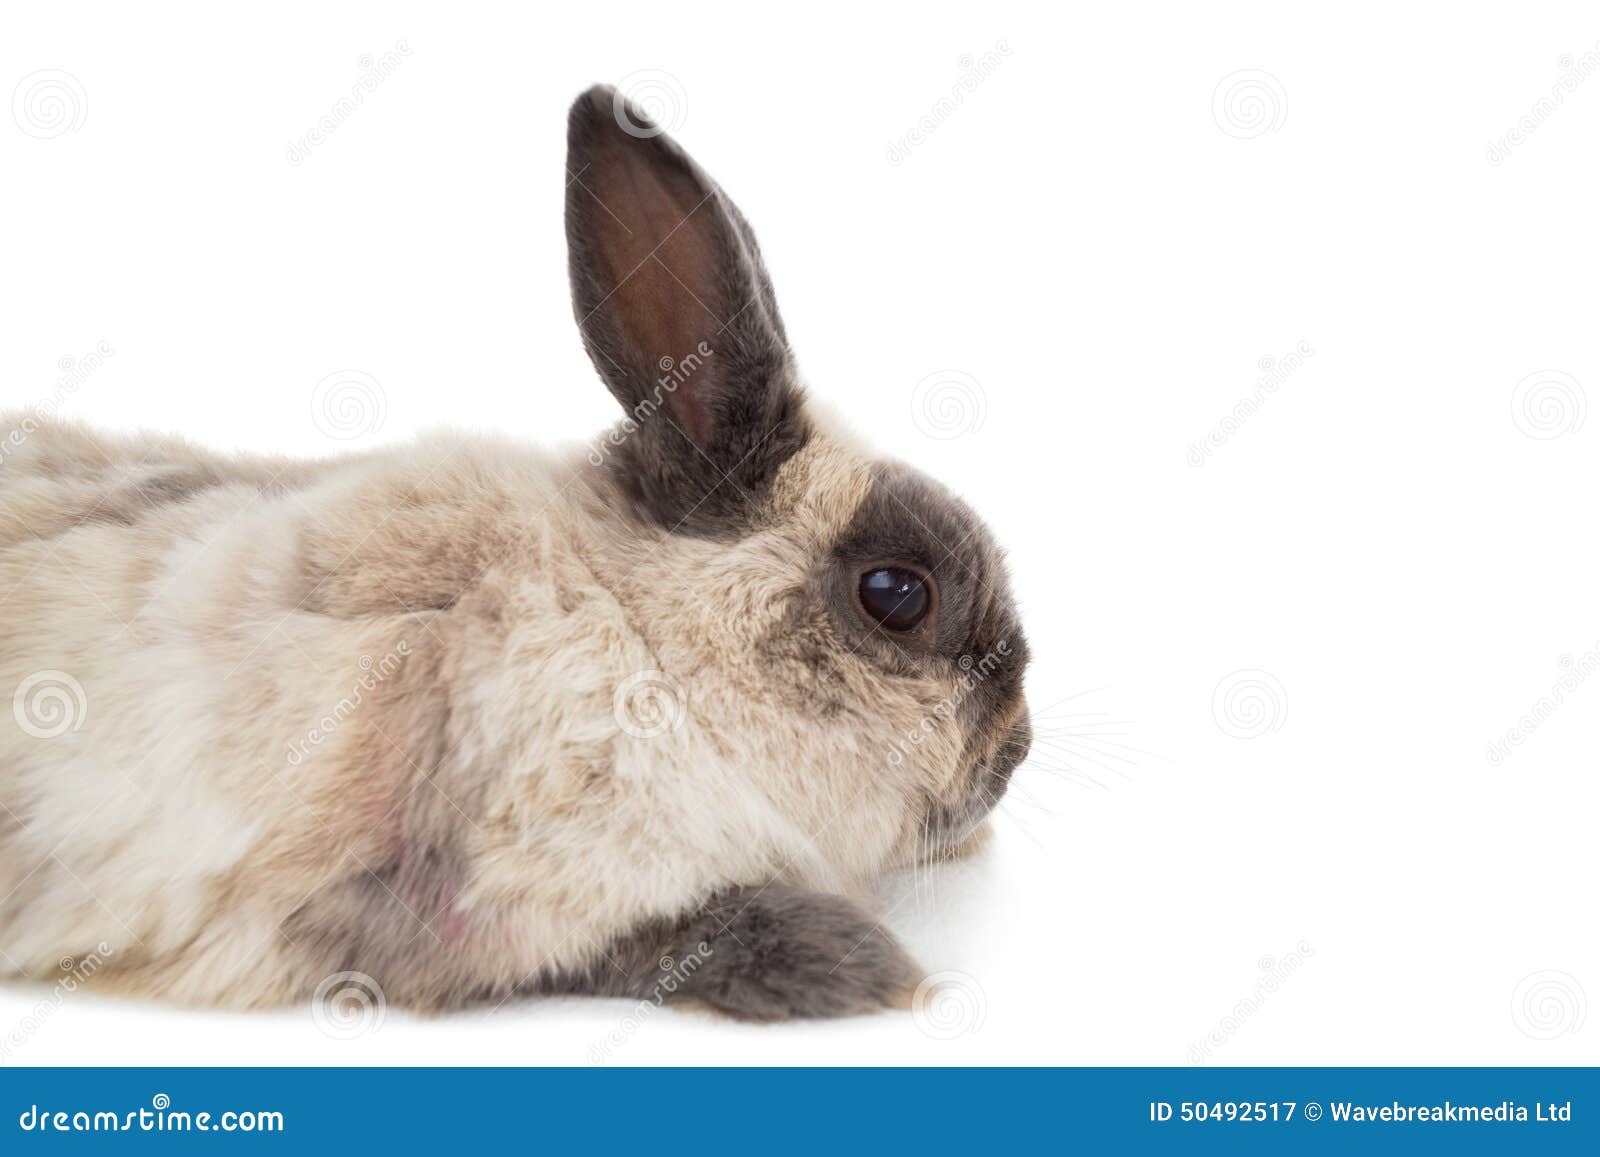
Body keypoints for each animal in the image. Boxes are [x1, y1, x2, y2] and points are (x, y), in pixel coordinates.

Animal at [0, 85, 1031, 1022]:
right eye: (896, 593)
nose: (1015, 751)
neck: (638, 634)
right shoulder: (439, 898)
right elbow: (627, 946)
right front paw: (857, 966)